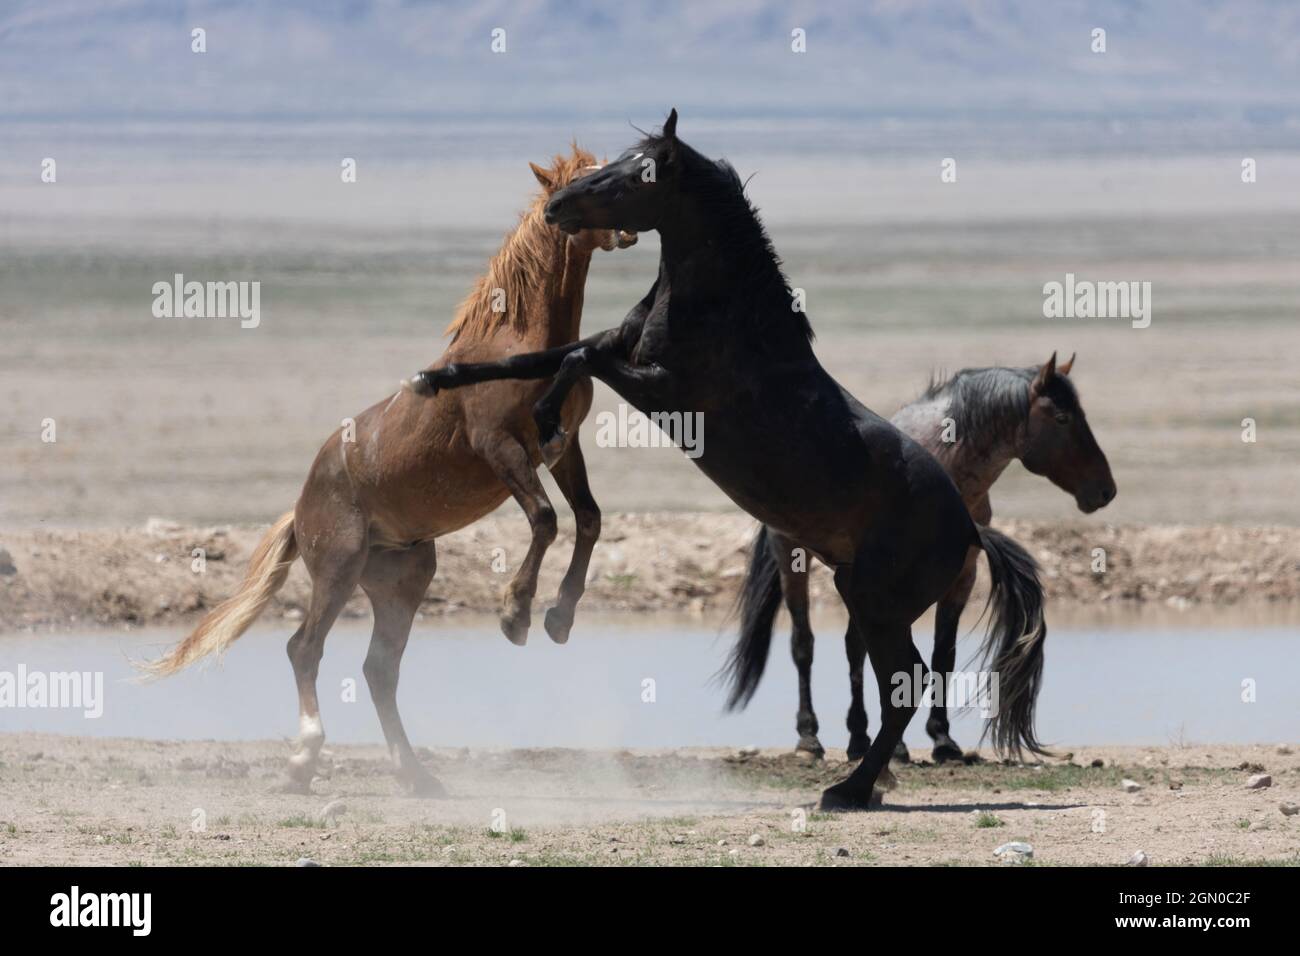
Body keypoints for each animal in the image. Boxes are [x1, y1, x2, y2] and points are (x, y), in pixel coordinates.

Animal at [142, 146, 635, 795]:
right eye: (581, 184)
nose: (629, 228)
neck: (518, 340)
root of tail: (300, 508)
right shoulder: (500, 447)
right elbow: (548, 520)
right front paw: (515, 615)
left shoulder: (562, 446)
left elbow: (588, 519)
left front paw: (558, 618)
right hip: (340, 567)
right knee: (305, 649)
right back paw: (303, 762)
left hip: (404, 578)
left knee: (378, 669)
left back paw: (416, 774)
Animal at [402, 111, 1050, 811]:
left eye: (638, 172)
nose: (556, 207)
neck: (726, 314)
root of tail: (971, 529)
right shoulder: (620, 347)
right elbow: (536, 358)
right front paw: (434, 379)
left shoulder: (664, 391)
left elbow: (577, 360)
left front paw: (547, 425)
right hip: (859, 592)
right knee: (897, 683)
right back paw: (864, 784)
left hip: (875, 601)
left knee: (902, 684)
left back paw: (847, 790)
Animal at [754, 355, 1116, 764]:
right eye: (1062, 418)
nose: (1105, 490)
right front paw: (898, 747)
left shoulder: (964, 574)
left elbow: (943, 654)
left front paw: (942, 740)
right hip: (792, 558)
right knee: (804, 645)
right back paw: (809, 738)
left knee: (854, 647)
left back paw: (859, 738)